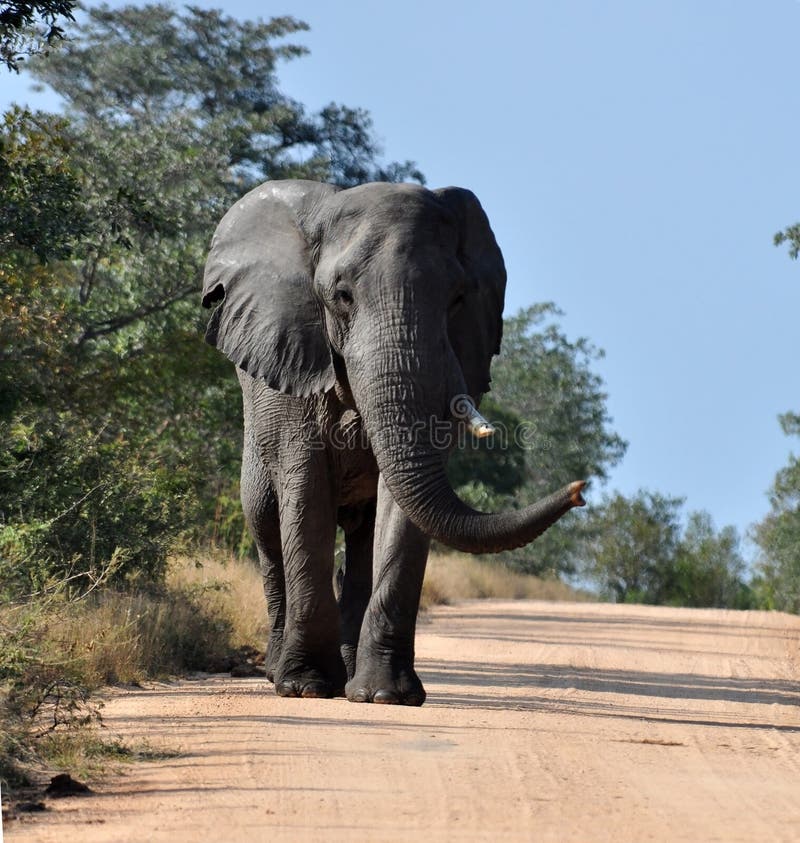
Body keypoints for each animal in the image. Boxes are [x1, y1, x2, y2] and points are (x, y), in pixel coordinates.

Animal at [201, 179, 585, 706]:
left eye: (458, 299)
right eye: (341, 296)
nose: (580, 489)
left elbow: (402, 506)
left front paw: (388, 695)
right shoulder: (293, 358)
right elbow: (305, 488)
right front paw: (306, 688)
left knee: (362, 536)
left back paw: (347, 676)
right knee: (264, 519)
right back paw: (282, 672)